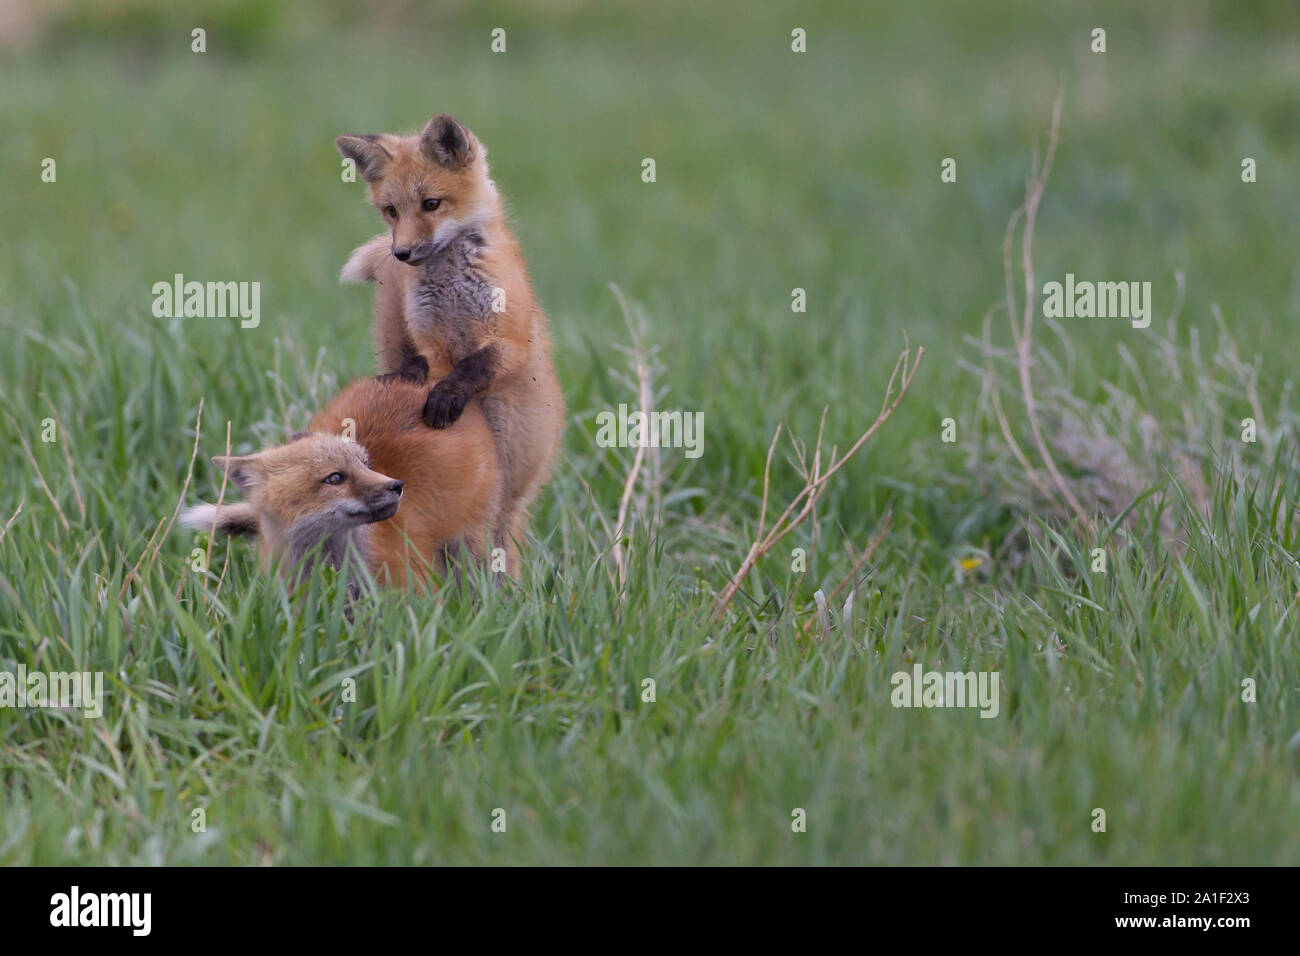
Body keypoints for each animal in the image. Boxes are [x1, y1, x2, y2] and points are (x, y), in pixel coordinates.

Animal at [334, 113, 564, 560]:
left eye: (431, 204)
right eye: (391, 211)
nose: (402, 254)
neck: (451, 285)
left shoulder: (510, 341)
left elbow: (477, 364)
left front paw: (446, 397)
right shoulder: (432, 340)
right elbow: (429, 364)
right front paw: (422, 383)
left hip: (508, 499)